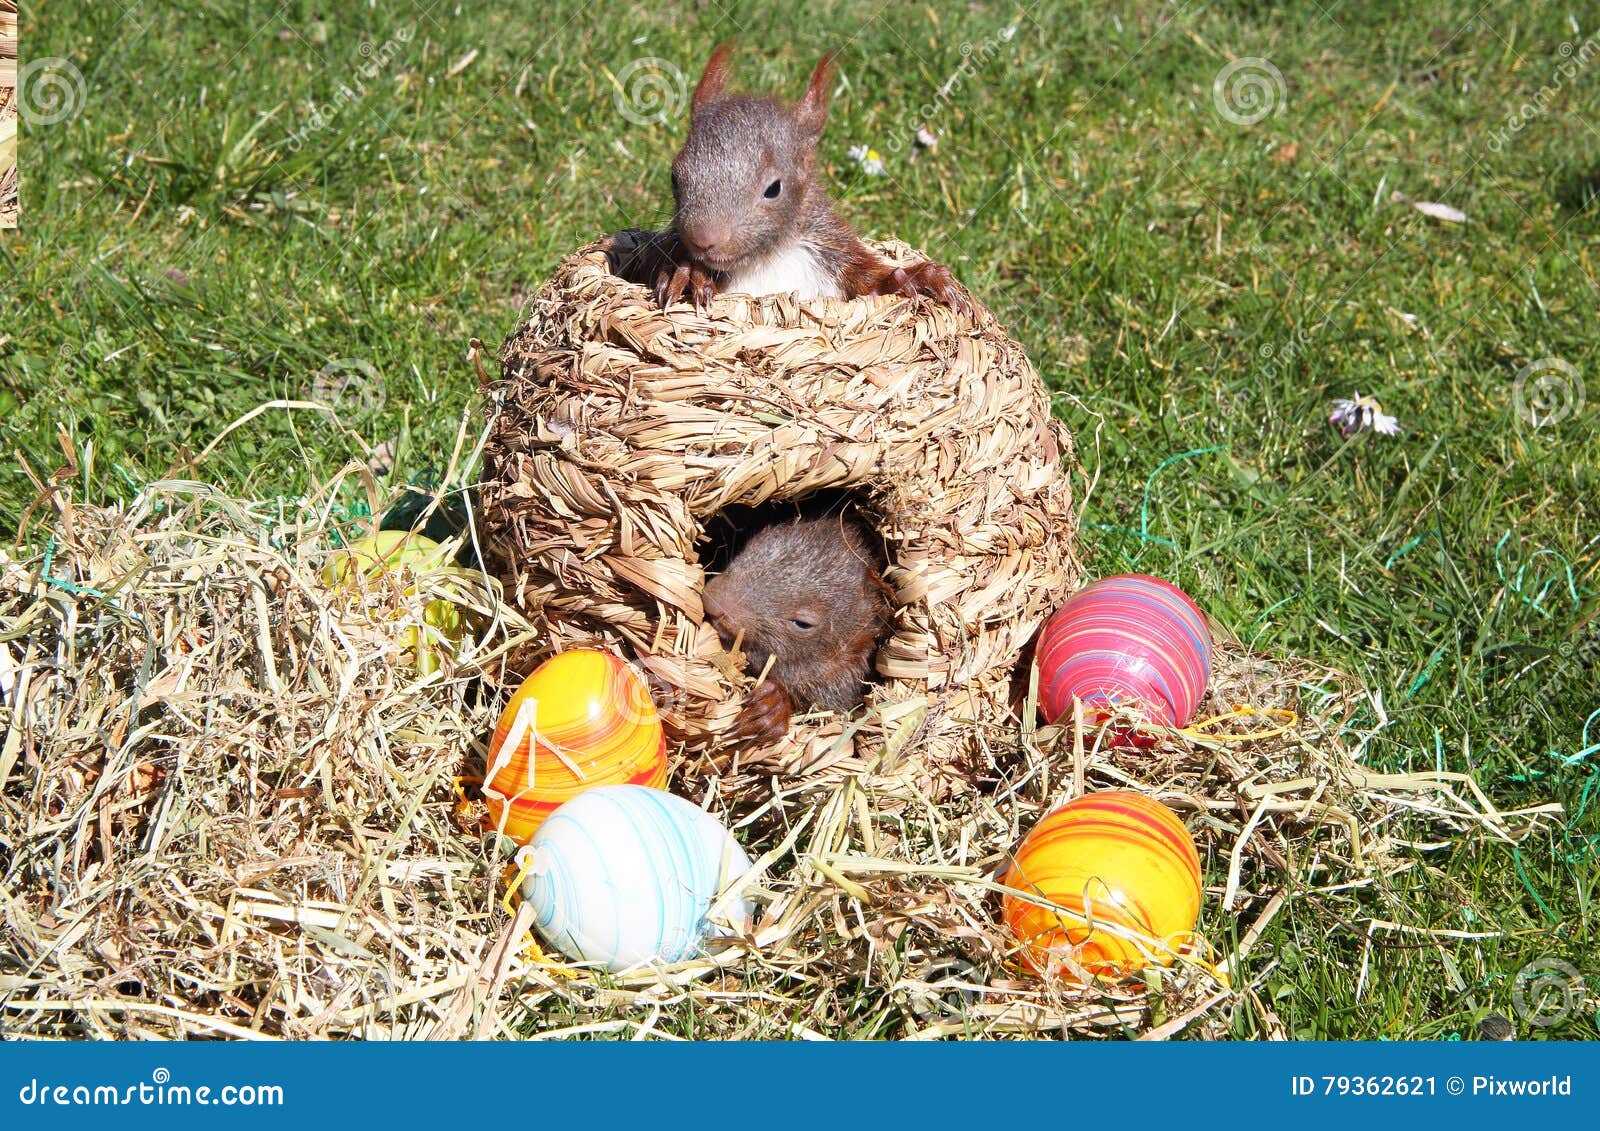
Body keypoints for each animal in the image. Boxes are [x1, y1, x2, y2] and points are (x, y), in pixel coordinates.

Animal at [609, 44, 968, 312]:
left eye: (774, 189)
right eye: (674, 176)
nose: (702, 238)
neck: (765, 259)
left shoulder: (833, 251)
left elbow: (869, 282)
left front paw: (916, 277)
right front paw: (686, 273)